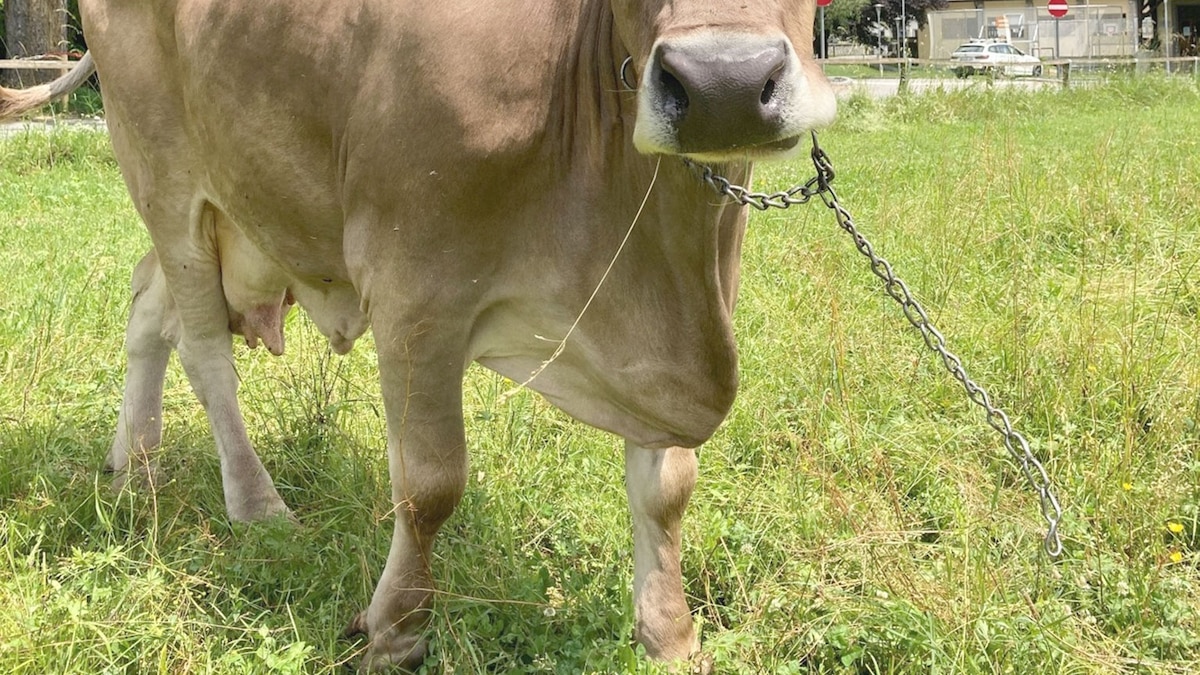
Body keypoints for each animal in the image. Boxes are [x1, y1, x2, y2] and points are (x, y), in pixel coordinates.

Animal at [0, 0, 836, 669]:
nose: (723, 84)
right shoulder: (416, 293)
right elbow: (431, 484)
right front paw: (395, 627)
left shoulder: (664, 342)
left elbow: (667, 488)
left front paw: (669, 634)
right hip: (163, 171)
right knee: (205, 351)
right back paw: (256, 502)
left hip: (240, 216)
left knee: (150, 304)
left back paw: (133, 465)